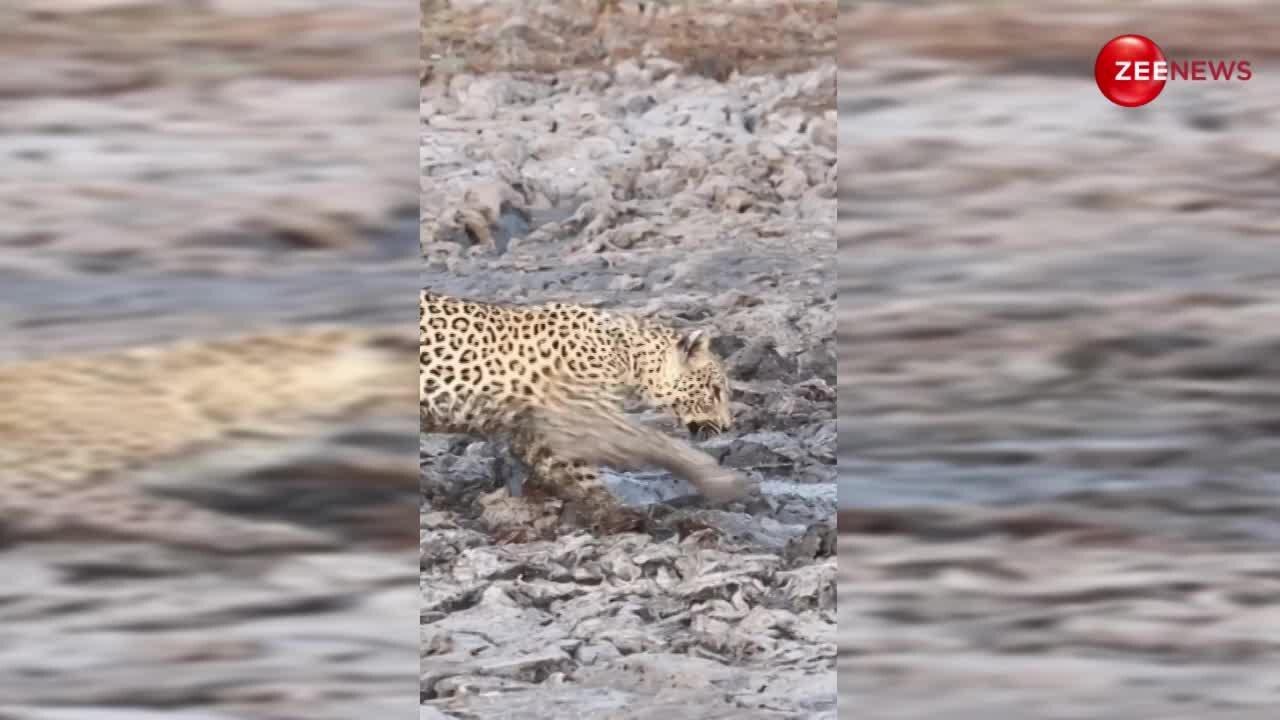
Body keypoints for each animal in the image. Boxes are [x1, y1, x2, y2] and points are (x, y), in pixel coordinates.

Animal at [419, 289, 750, 533]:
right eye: (714, 391)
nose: (727, 427)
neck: (628, 354)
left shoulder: (542, 430)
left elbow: (573, 472)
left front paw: (609, 512)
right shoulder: (583, 416)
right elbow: (650, 440)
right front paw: (714, 476)